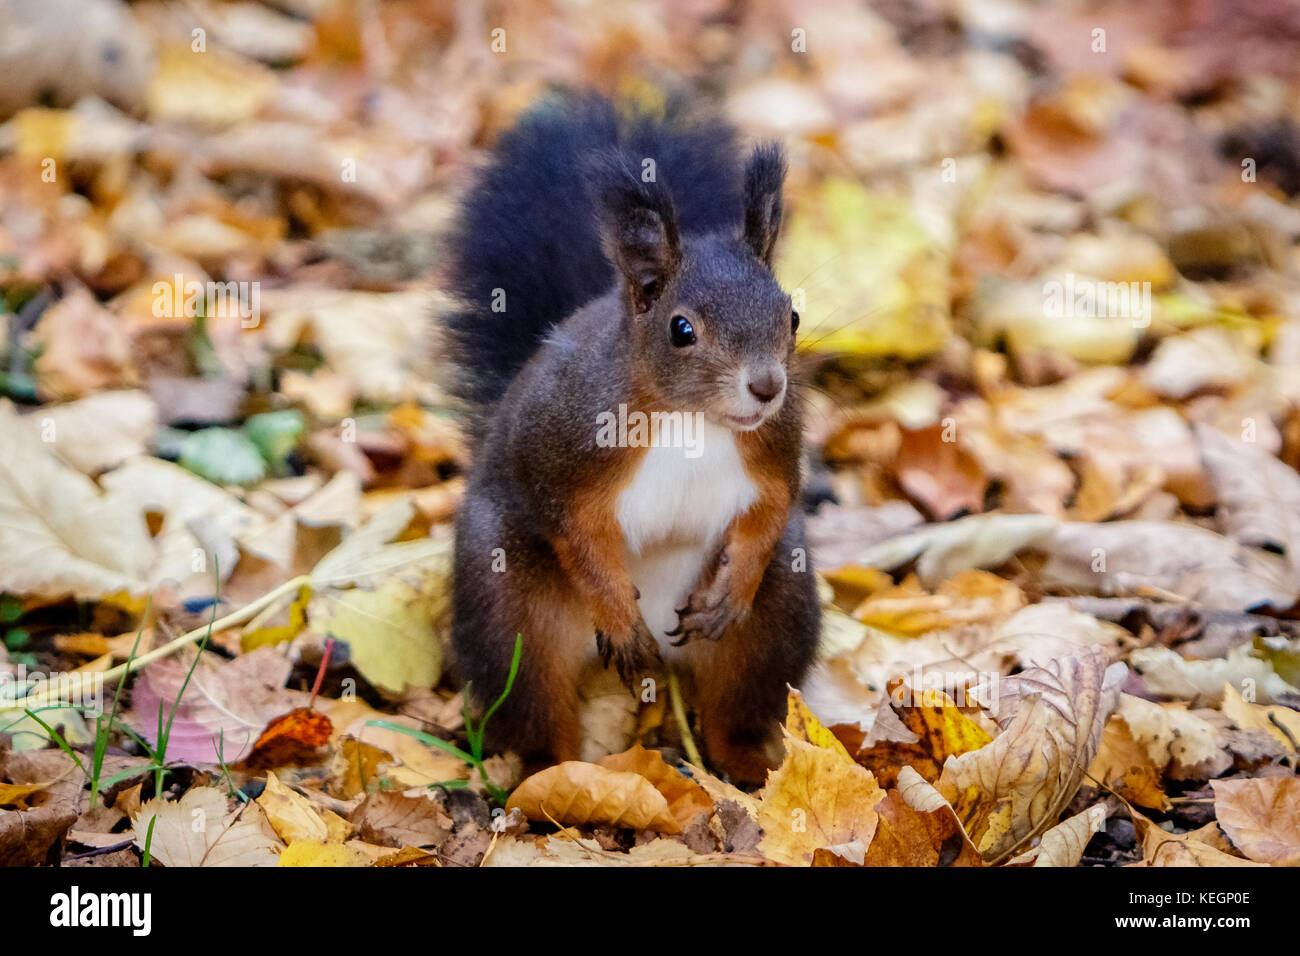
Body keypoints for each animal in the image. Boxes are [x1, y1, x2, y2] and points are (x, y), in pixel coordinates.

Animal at [442, 93, 821, 784]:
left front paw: (731, 592)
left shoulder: (774, 448)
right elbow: (577, 532)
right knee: (531, 699)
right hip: (505, 604)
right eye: (681, 329)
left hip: (780, 611)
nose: (766, 388)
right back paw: (550, 777)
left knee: (739, 706)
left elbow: (771, 509)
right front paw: (621, 621)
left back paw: (749, 769)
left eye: (793, 316)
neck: (694, 420)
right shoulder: (568, 449)